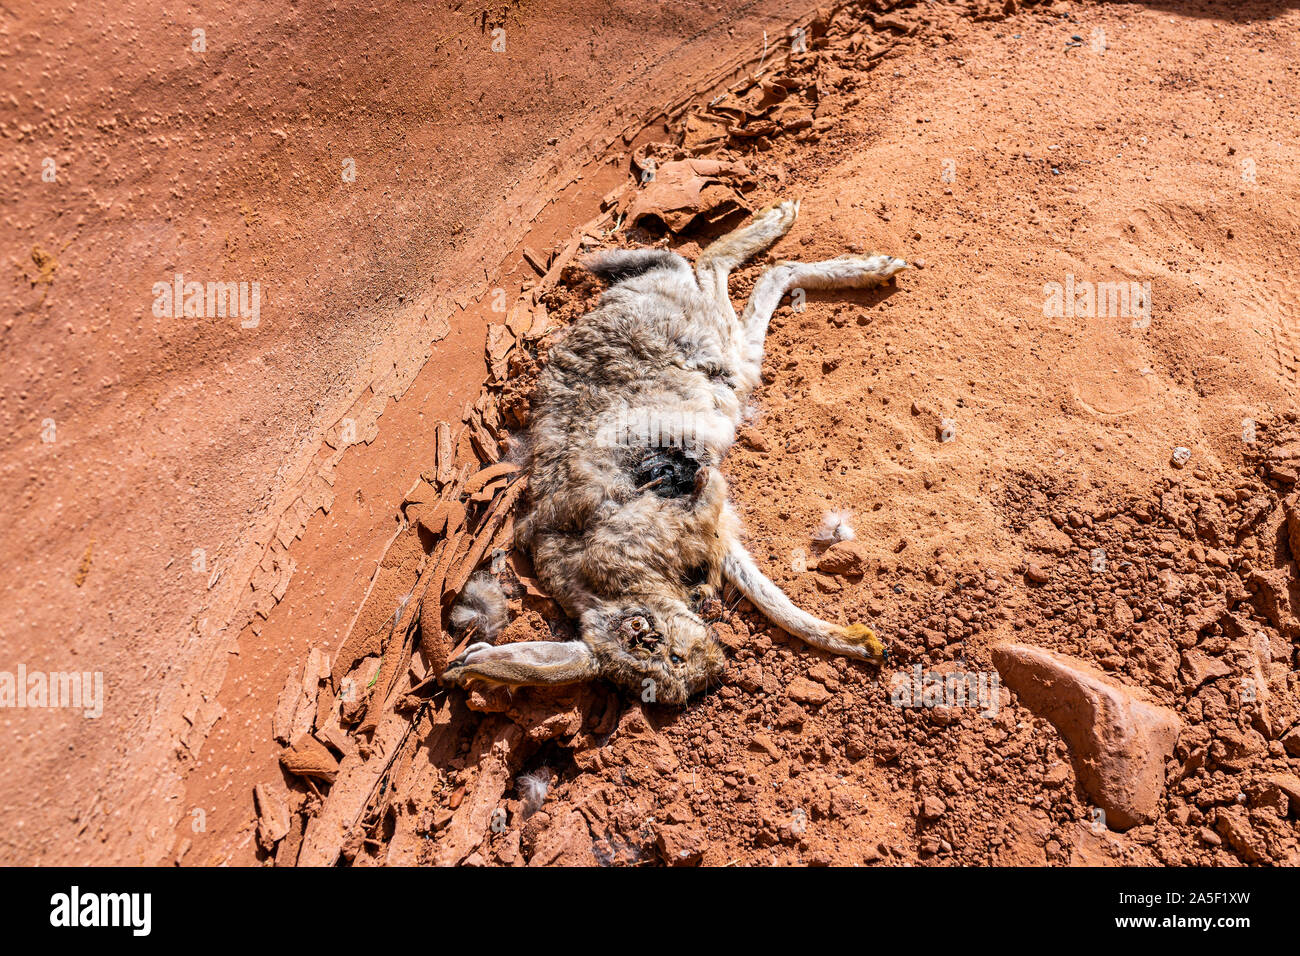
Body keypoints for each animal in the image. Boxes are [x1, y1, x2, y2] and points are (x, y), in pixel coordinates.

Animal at [442, 200, 908, 705]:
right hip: (732, 365)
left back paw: (826, 244)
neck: (616, 585)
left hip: (716, 348)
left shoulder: (693, 517)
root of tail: (618, 297)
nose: (714, 666)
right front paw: (860, 643)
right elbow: (762, 592)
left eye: (647, 635)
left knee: (722, 266)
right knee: (758, 277)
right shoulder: (715, 533)